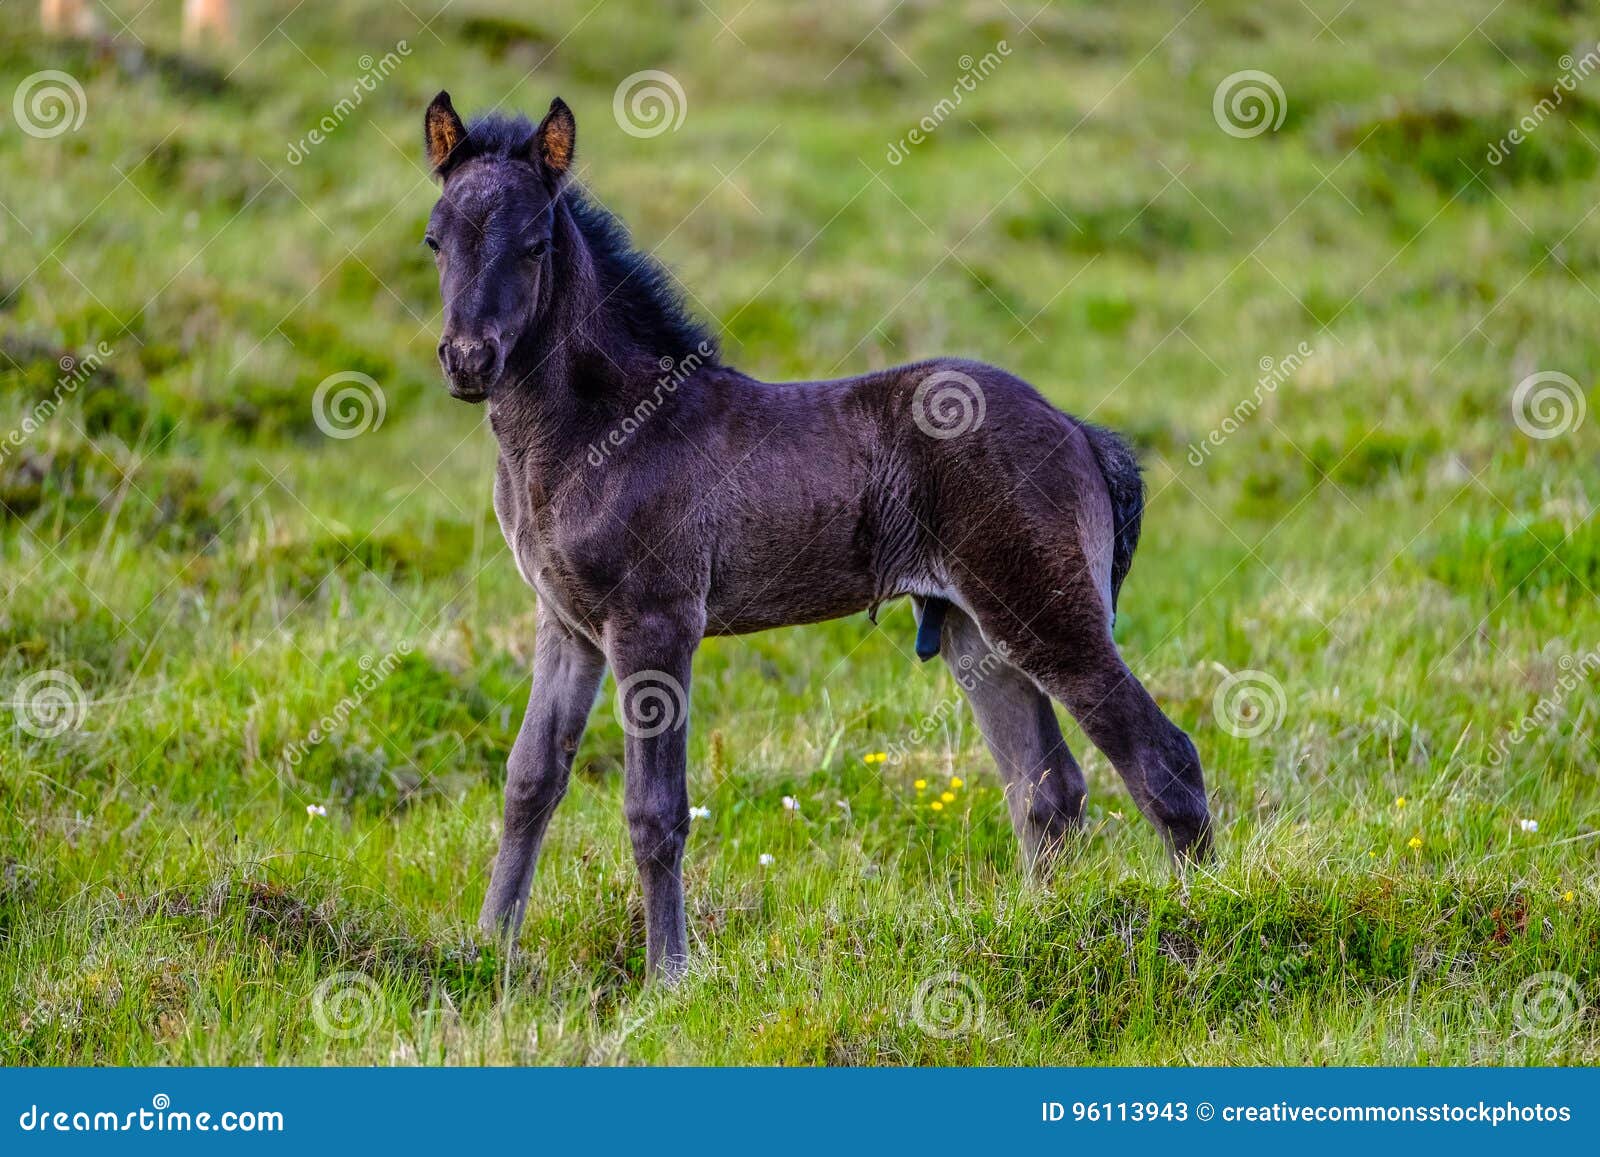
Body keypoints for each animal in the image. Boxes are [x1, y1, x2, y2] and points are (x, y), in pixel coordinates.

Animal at [420, 92, 1211, 981]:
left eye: (535, 244)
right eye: (436, 238)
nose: (468, 360)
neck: (603, 426)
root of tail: (1079, 431)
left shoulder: (654, 623)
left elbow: (655, 810)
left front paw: (669, 978)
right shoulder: (567, 625)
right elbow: (528, 780)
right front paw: (487, 949)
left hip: (1046, 611)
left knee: (1162, 758)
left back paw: (1202, 914)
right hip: (976, 633)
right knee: (1047, 792)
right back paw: (1045, 927)